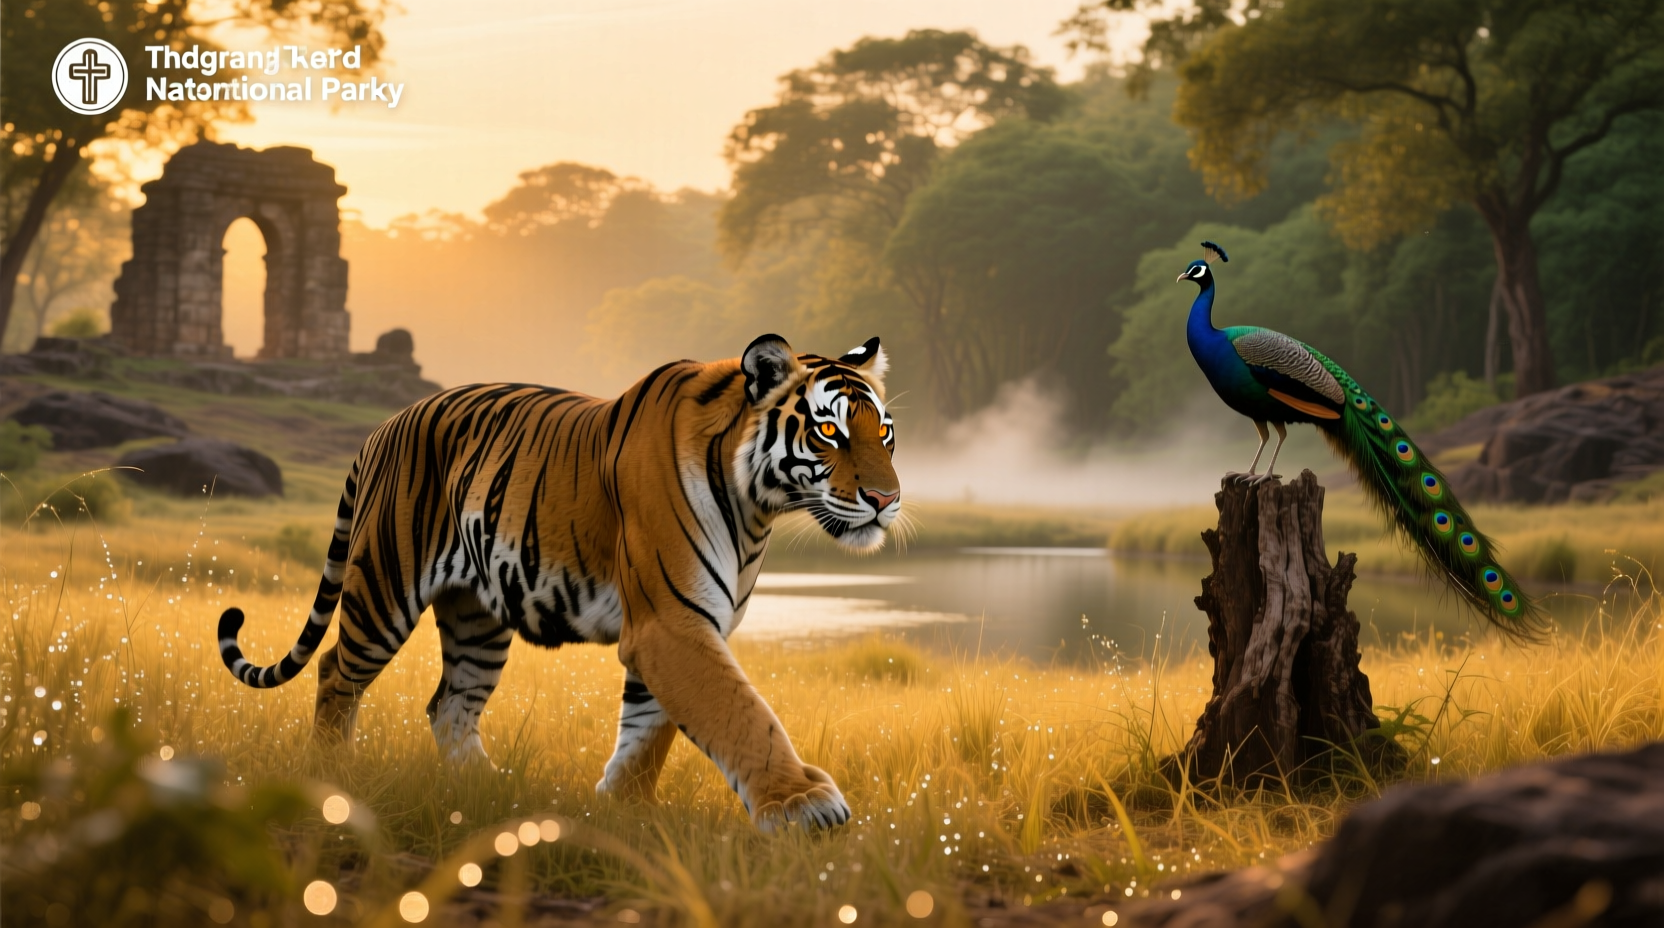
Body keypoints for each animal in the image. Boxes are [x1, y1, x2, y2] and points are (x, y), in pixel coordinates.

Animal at [216, 334, 899, 832]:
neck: (757, 507)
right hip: (384, 585)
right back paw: (334, 776)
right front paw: (803, 804)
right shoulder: (672, 624)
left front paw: (625, 811)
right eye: (829, 430)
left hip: (477, 616)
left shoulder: (681, 626)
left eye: (885, 432)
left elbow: (649, 731)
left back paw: (489, 790)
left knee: (450, 705)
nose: (887, 499)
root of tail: (385, 425)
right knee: (336, 669)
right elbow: (740, 713)